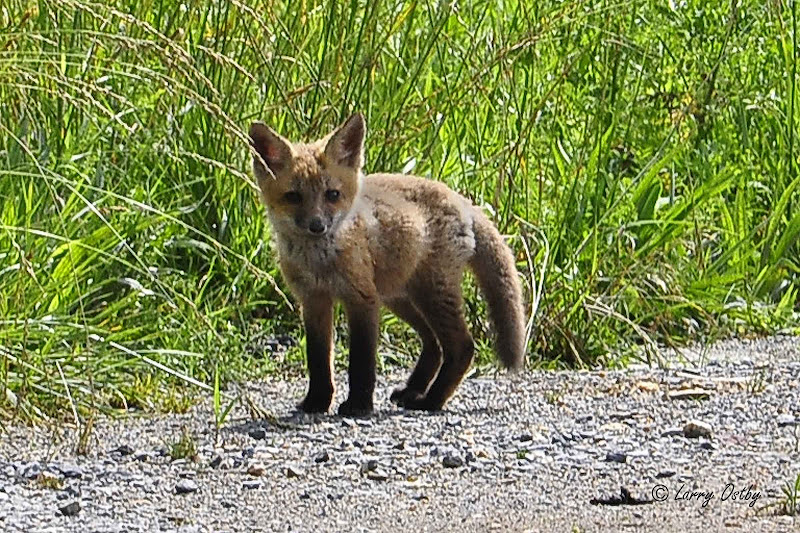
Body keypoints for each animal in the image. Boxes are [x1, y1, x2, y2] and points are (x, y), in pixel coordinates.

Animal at [248, 113, 525, 416]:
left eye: (332, 195)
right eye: (293, 197)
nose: (317, 226)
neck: (319, 261)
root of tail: (462, 199)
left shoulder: (362, 299)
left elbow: (361, 363)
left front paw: (358, 405)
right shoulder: (314, 301)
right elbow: (318, 360)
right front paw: (317, 401)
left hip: (430, 295)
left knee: (462, 346)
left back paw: (431, 401)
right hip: (400, 299)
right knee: (433, 344)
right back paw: (413, 390)